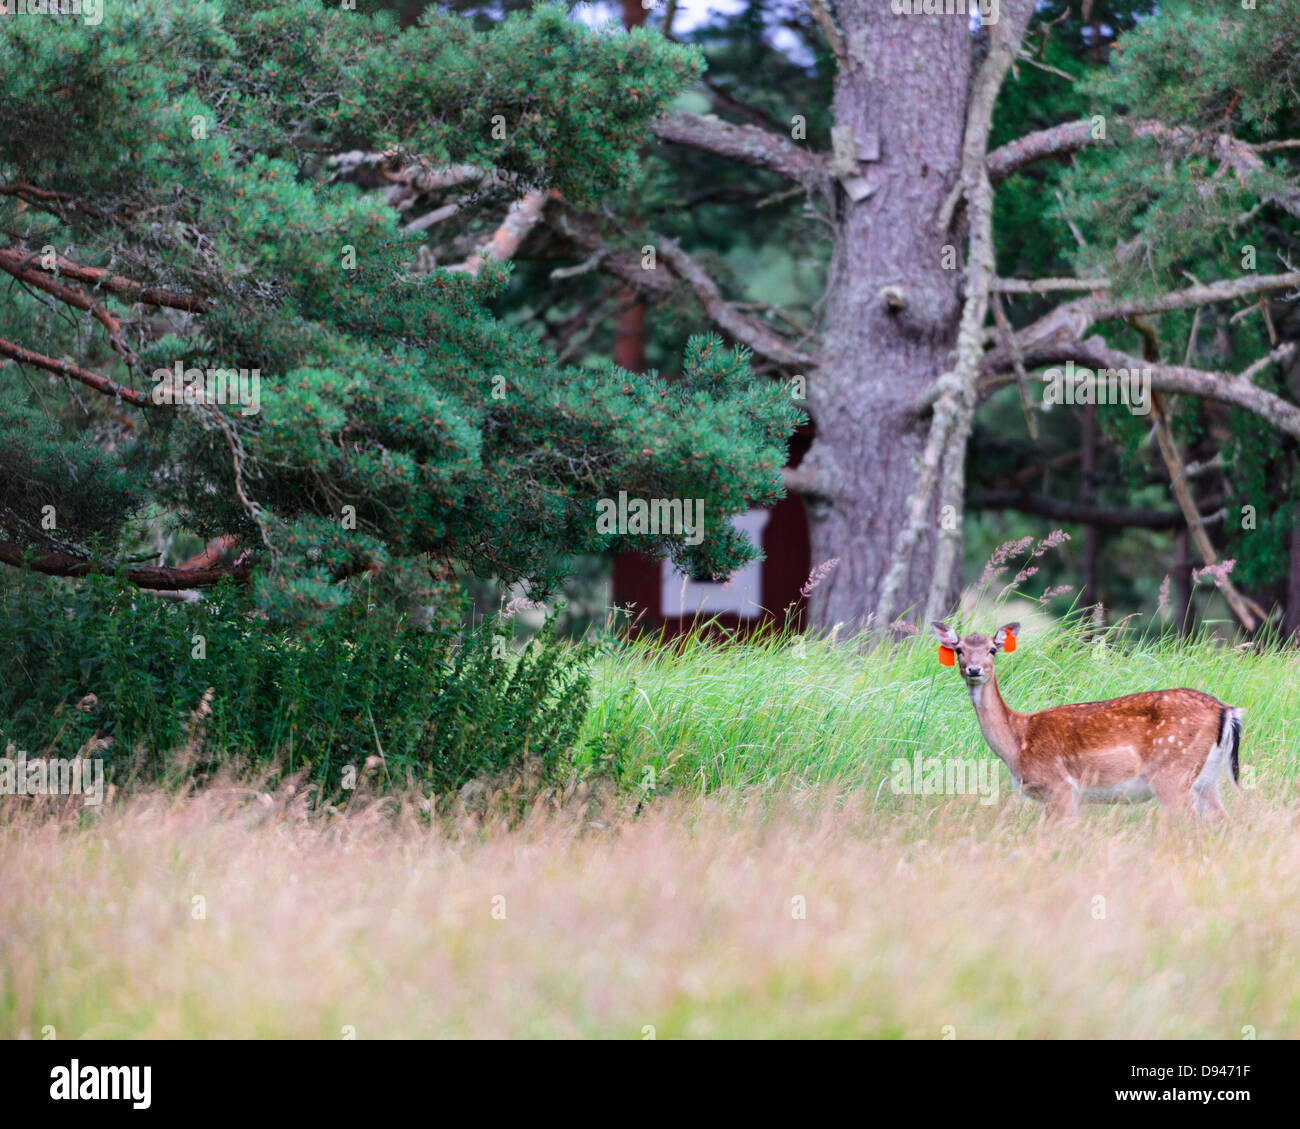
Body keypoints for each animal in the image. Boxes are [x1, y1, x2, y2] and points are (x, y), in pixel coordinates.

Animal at [930, 621, 1243, 819]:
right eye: (959, 649)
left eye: (992, 649)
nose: (974, 669)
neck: (1018, 742)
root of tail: (1226, 710)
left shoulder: (1060, 786)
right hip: (1207, 779)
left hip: (1173, 773)